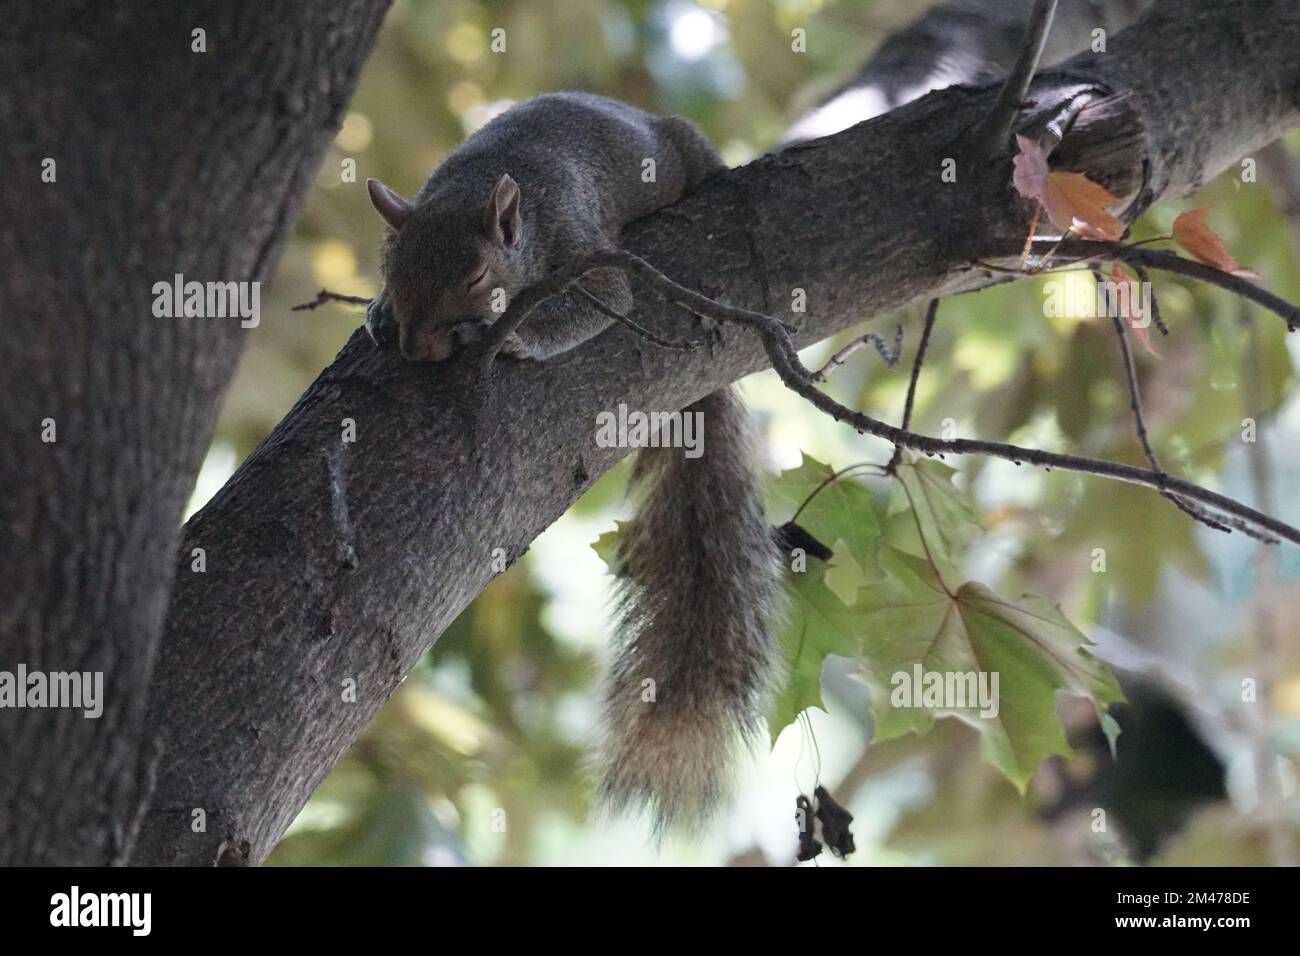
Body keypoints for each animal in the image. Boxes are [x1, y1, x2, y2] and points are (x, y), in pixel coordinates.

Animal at [364, 92, 783, 832]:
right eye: (391, 267)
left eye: (476, 276)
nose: (417, 349)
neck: (476, 183)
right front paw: (376, 314)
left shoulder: (580, 247)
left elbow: (608, 303)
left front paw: (519, 340)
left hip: (683, 150)